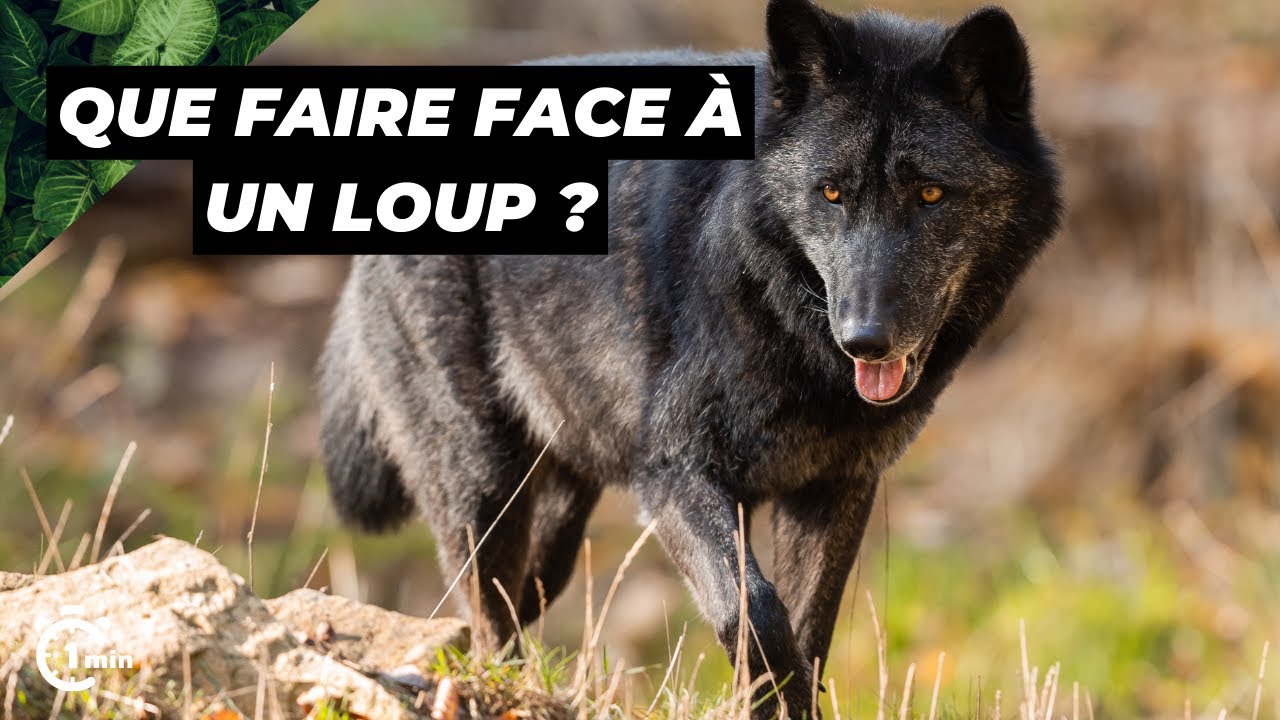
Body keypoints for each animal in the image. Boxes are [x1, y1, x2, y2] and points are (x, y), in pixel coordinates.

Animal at [318, 0, 1062, 715]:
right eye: (831, 192)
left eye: (931, 194)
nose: (864, 338)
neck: (788, 325)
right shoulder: (675, 474)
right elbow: (755, 611)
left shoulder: (834, 487)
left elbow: (809, 628)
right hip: (483, 483)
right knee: (490, 613)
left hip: (557, 512)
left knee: (512, 600)